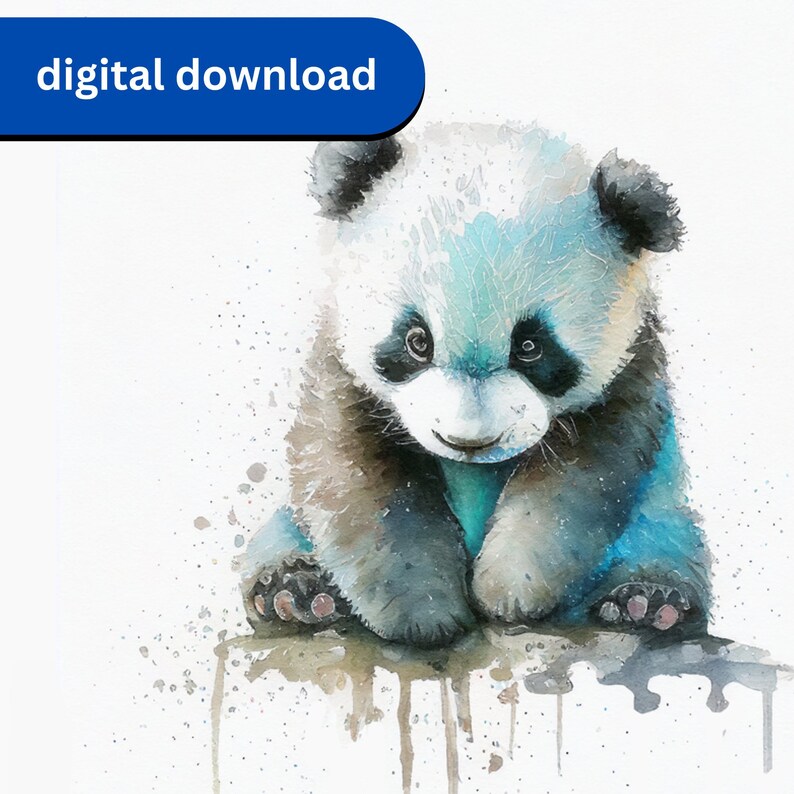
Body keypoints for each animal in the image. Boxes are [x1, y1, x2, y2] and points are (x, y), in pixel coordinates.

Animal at [238, 122, 711, 649]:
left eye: (531, 346)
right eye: (416, 341)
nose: (466, 441)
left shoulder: (630, 373)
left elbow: (581, 484)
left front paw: (509, 589)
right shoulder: (340, 373)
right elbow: (356, 482)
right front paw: (421, 613)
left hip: (664, 513)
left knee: (667, 539)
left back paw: (650, 600)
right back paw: (295, 591)